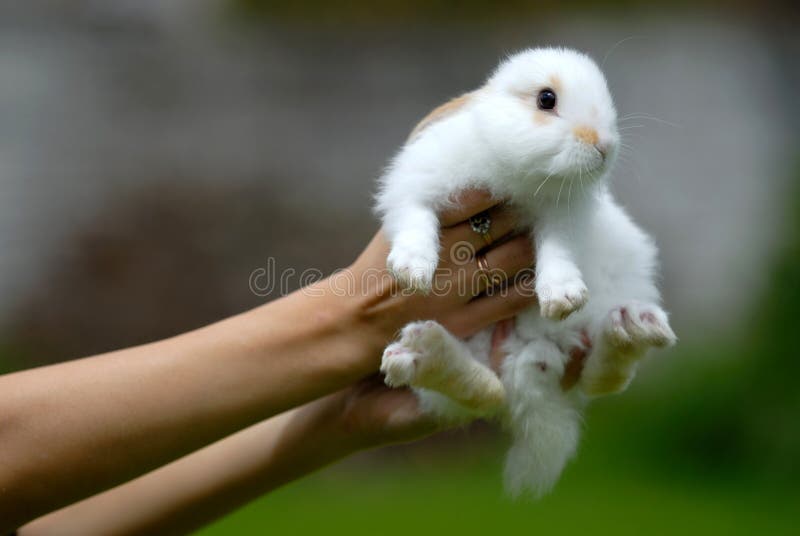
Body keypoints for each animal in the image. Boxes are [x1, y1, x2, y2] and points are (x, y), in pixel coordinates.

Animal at [376, 47, 676, 497]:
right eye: (546, 99)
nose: (603, 145)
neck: (514, 173)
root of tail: (531, 367)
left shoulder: (561, 219)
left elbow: (557, 252)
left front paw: (563, 296)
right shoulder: (417, 186)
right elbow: (416, 219)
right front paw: (412, 270)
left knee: (598, 379)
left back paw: (631, 327)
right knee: (485, 390)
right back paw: (422, 353)